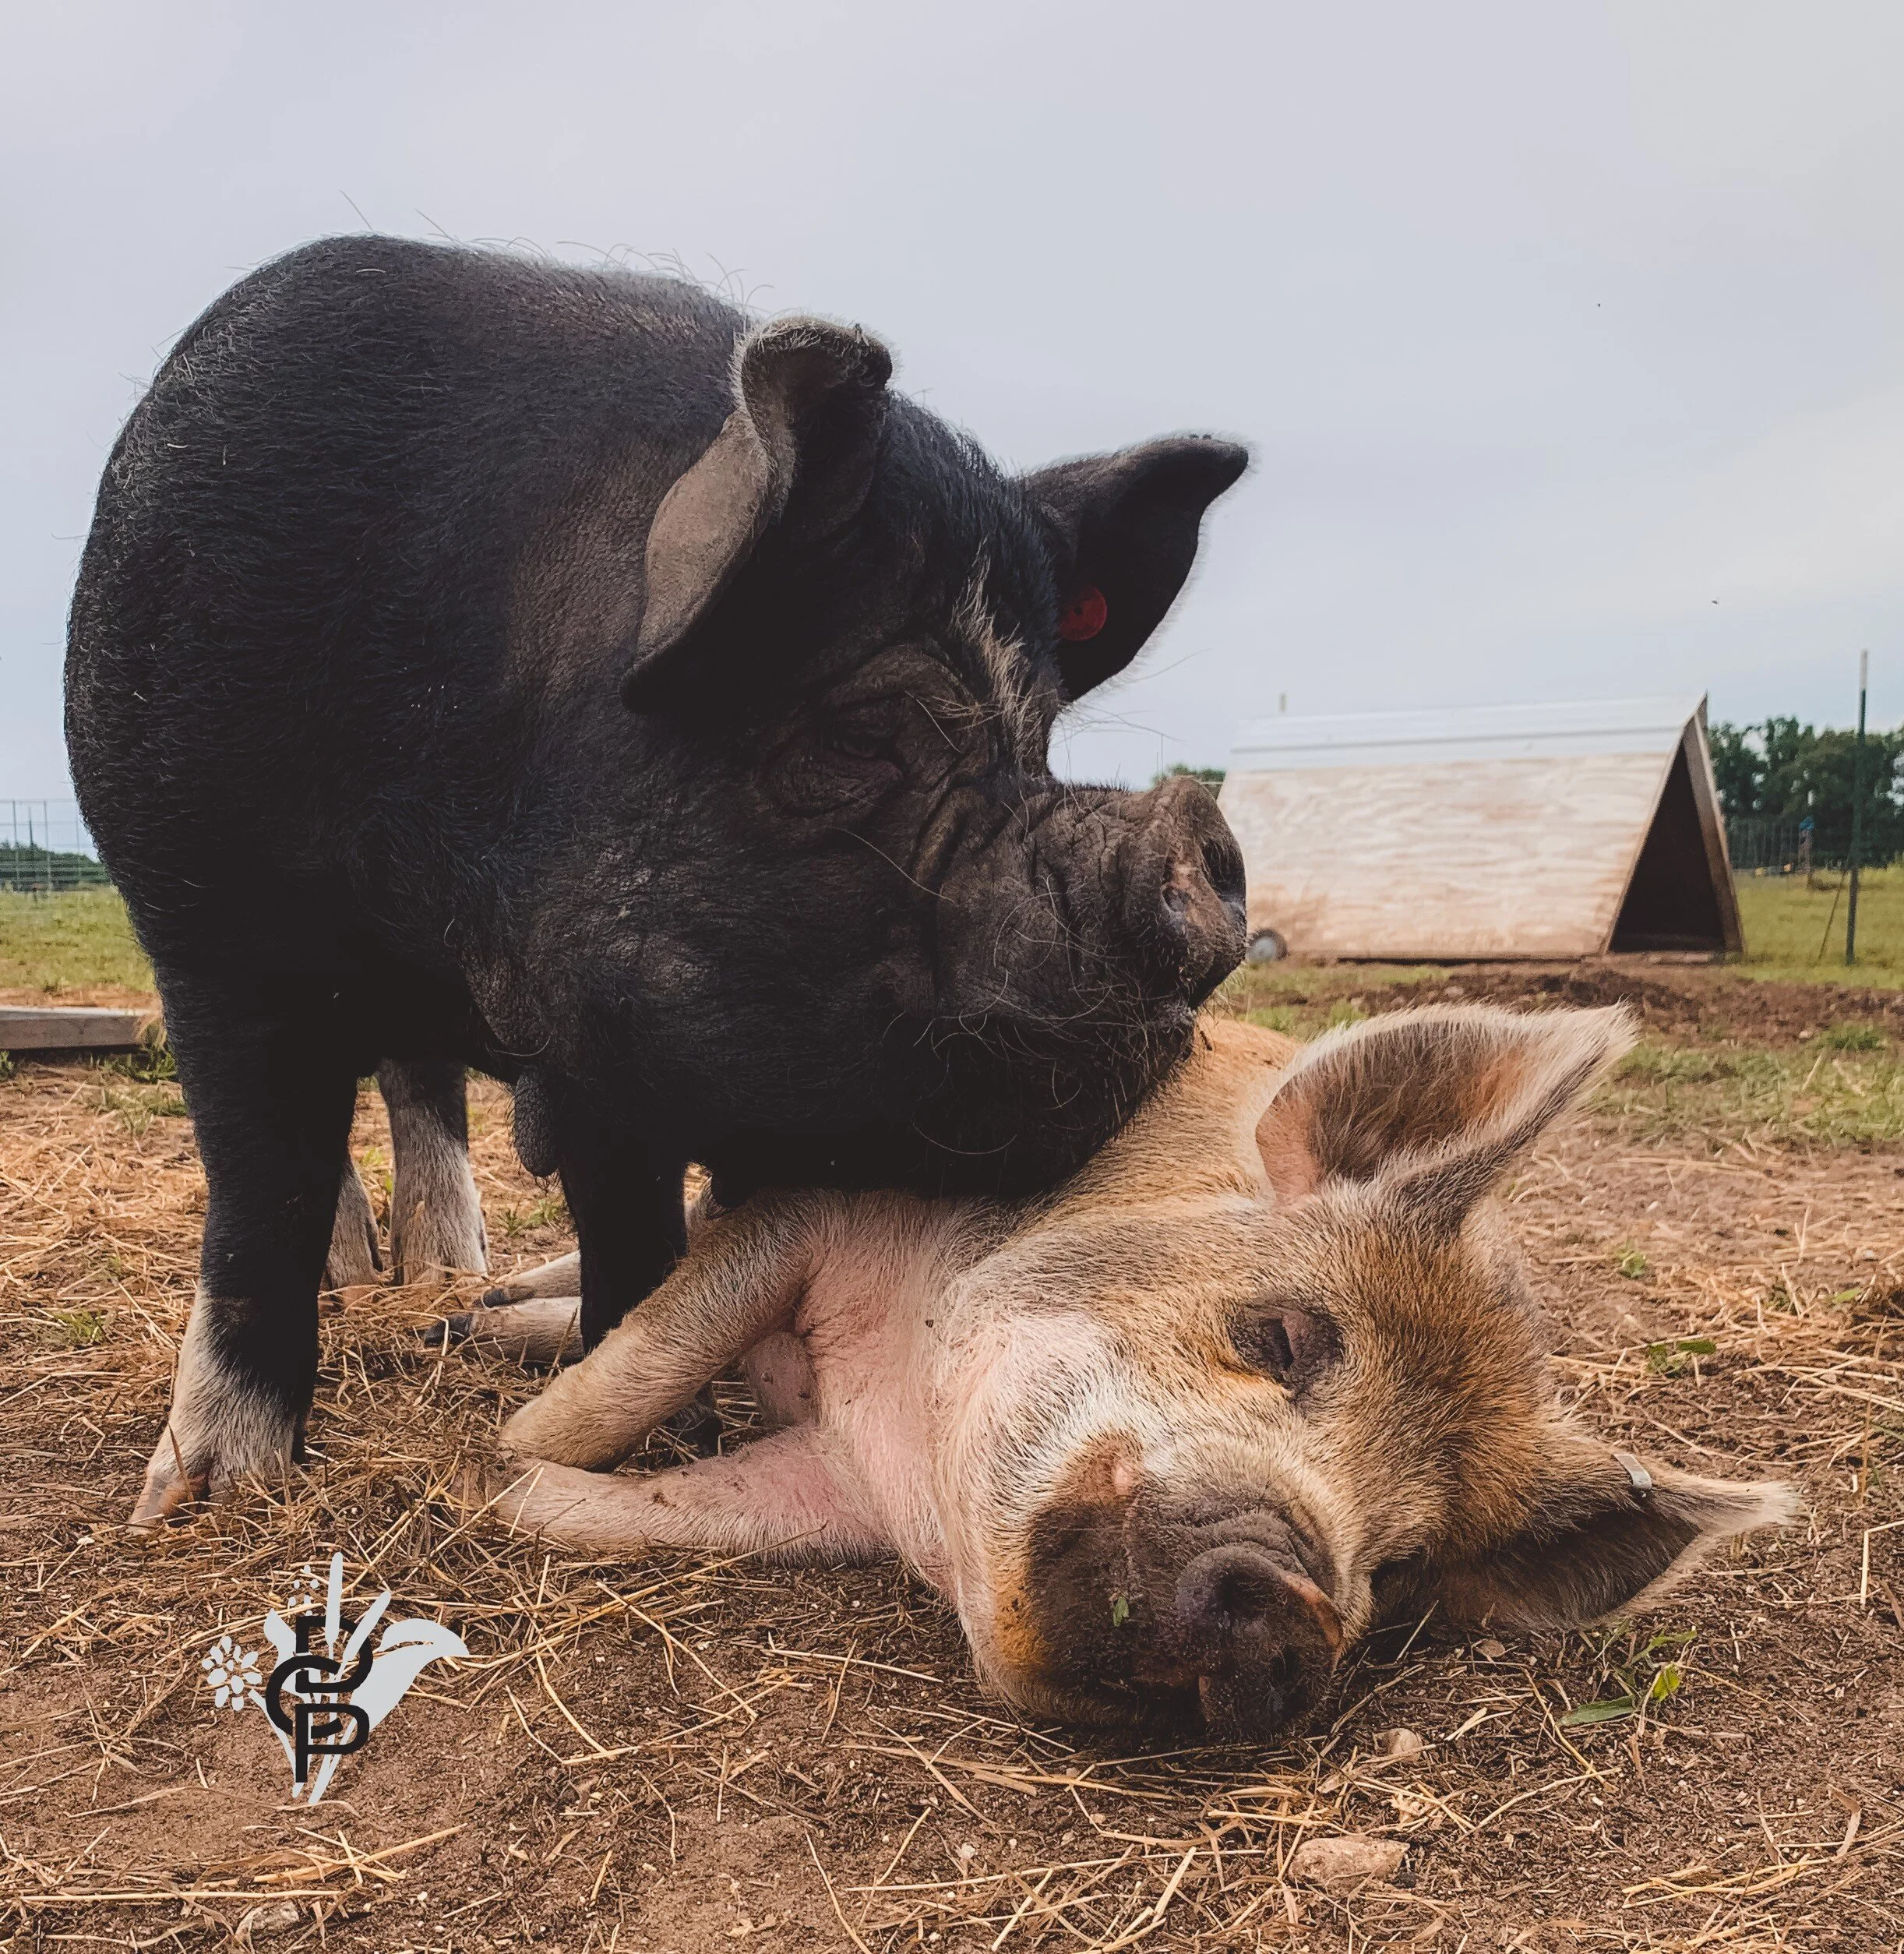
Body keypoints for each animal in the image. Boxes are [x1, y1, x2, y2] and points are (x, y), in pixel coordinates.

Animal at [64, 236, 1250, 1524]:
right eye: (856, 737)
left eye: (1036, 744)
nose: (1202, 842)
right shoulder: (207, 914)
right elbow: (258, 1187)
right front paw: (205, 1495)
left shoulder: (621, 1039)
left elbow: (628, 1224)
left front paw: (661, 1423)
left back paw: (447, 1275)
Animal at [474, 1005, 1793, 1736]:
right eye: (1284, 1338)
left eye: (1407, 1563)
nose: (1299, 1604)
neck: (899, 1416)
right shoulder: (818, 1206)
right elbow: (656, 1352)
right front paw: (512, 1445)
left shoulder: (839, 1488)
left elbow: (670, 1514)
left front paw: (514, 1496)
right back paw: (479, 1315)